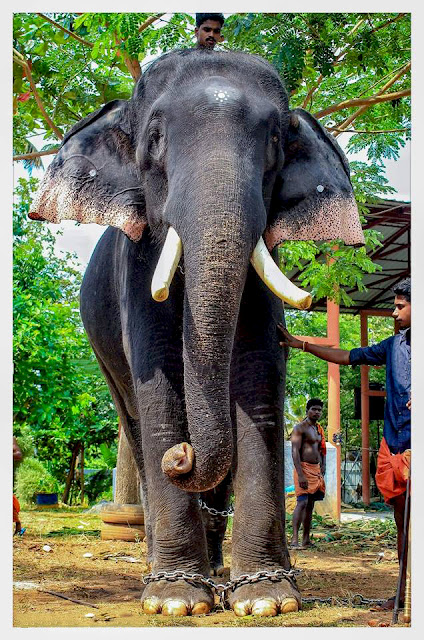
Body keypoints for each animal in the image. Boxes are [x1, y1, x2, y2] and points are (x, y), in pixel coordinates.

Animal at [29, 47, 364, 617]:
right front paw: (175, 601)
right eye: (155, 139)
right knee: (133, 422)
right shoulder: (137, 266)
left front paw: (267, 598)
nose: (181, 456)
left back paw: (221, 569)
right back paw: (166, 566)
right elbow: (159, 381)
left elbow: (256, 372)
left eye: (274, 142)